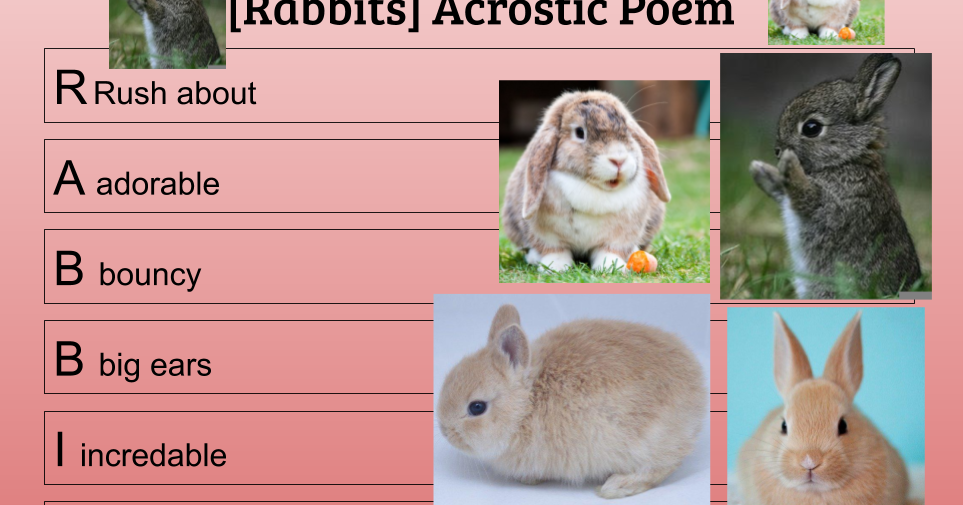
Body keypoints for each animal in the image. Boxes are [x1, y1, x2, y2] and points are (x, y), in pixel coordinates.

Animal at [437, 304, 706, 499]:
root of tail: (697, 386)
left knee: (659, 467)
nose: (445, 431)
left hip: (647, 441)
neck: (527, 406)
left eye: (477, 407)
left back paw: (614, 487)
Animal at [502, 90, 671, 273]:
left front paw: (610, 267)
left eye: (627, 130)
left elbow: (609, 251)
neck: (592, 187)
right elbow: (555, 250)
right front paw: (555, 267)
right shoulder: (547, 236)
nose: (619, 160)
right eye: (579, 132)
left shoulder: (619, 236)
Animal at [749, 54, 921, 299]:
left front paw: (788, 164)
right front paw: (760, 170)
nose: (778, 151)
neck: (847, 160)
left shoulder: (836, 206)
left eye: (811, 128)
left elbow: (805, 196)